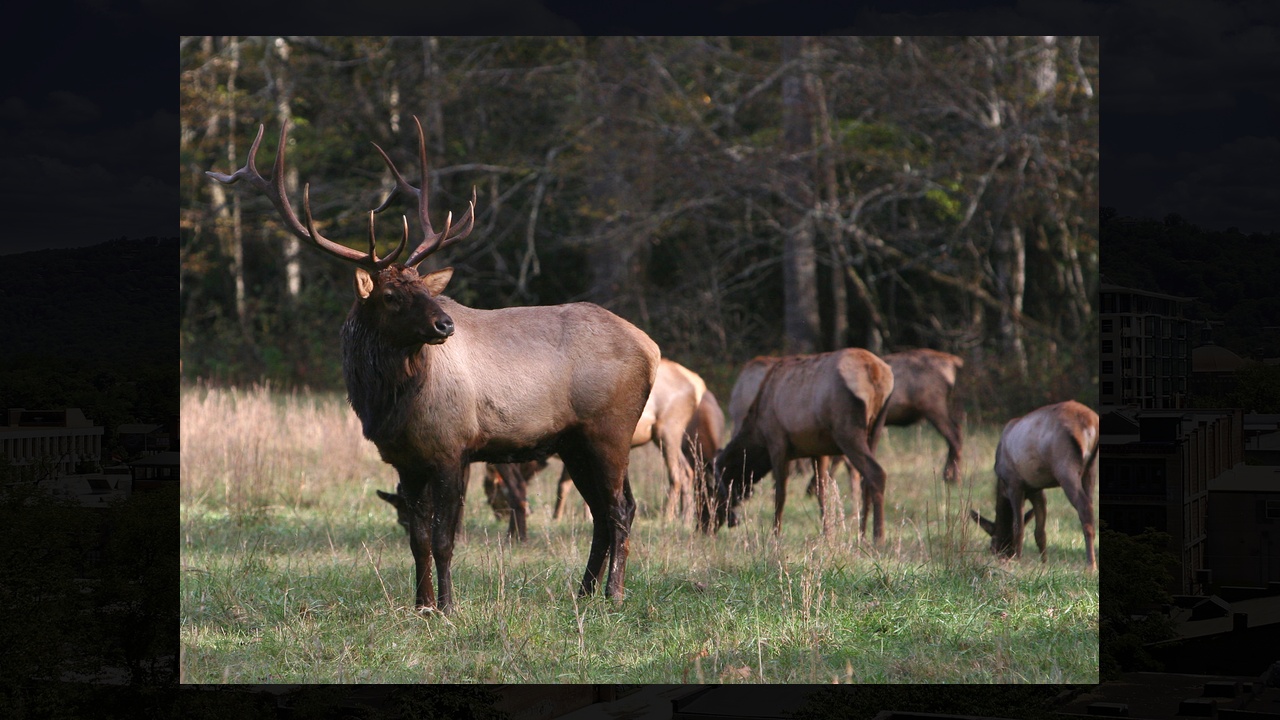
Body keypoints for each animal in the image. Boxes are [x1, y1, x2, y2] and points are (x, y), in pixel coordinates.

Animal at [208, 118, 660, 613]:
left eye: (426, 288)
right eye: (391, 295)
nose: (445, 324)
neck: (388, 406)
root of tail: (651, 348)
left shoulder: (450, 447)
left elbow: (445, 539)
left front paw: (447, 606)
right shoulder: (405, 459)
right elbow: (418, 539)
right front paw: (421, 604)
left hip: (609, 428)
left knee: (620, 509)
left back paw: (614, 593)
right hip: (573, 441)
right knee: (601, 512)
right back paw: (582, 591)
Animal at [713, 349, 894, 540]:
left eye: (709, 491)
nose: (706, 527)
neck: (757, 430)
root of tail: (877, 375)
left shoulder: (776, 442)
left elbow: (780, 493)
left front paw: (775, 535)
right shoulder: (818, 451)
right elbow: (821, 492)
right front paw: (827, 535)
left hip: (848, 431)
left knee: (876, 473)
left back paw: (878, 538)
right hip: (875, 430)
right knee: (866, 480)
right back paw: (862, 534)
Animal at [968, 400, 1098, 571]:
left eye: (992, 545)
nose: (1003, 557)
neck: (1001, 485)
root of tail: (1091, 423)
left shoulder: (1014, 483)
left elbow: (1018, 526)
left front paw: (1018, 560)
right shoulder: (1037, 490)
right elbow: (1040, 531)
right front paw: (1044, 563)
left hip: (1065, 466)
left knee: (1084, 508)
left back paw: (1091, 566)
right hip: (1090, 469)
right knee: (1091, 504)